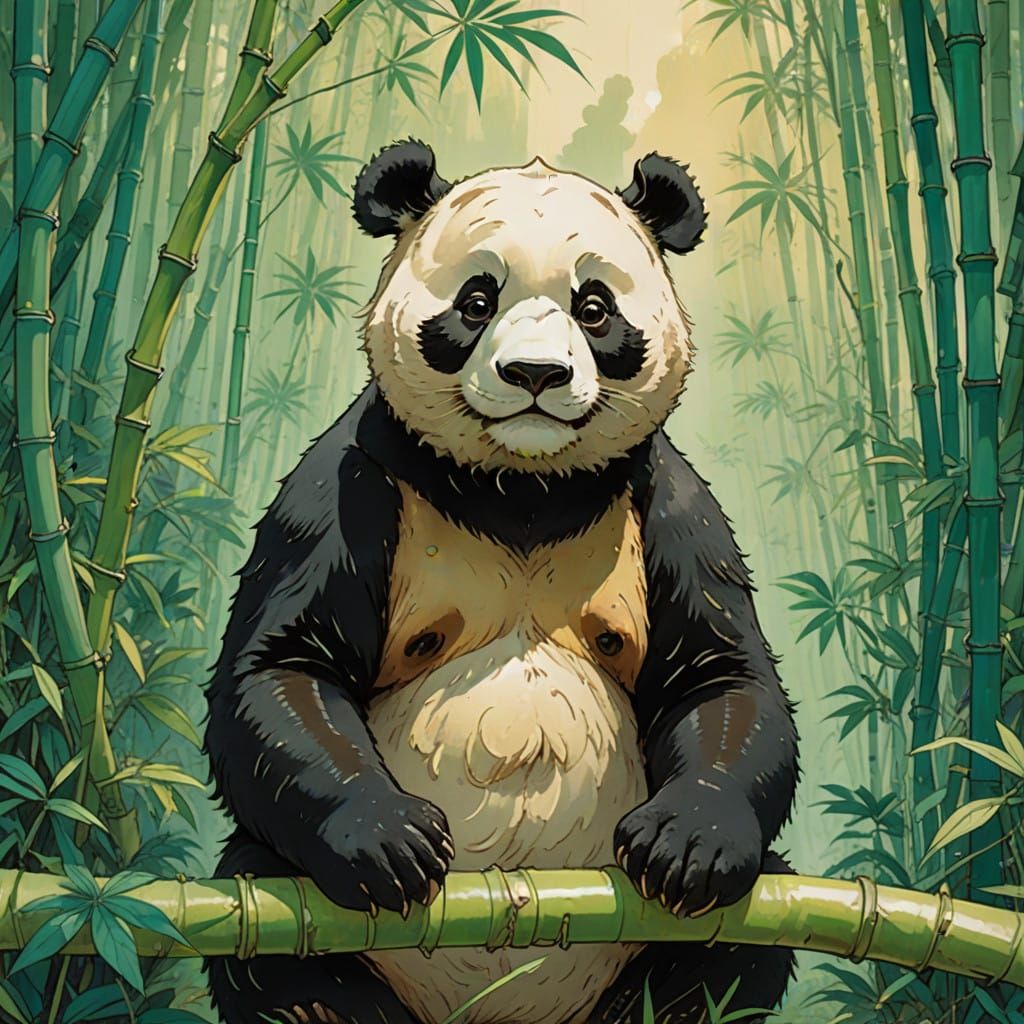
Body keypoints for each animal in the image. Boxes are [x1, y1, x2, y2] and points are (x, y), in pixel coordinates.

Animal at [204, 140, 799, 1024]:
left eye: (595, 308)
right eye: (477, 300)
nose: (535, 374)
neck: (521, 486)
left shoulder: (671, 503)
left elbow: (723, 675)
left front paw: (686, 843)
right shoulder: (350, 480)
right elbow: (281, 666)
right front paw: (390, 839)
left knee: (736, 947)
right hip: (296, 921)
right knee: (270, 929)